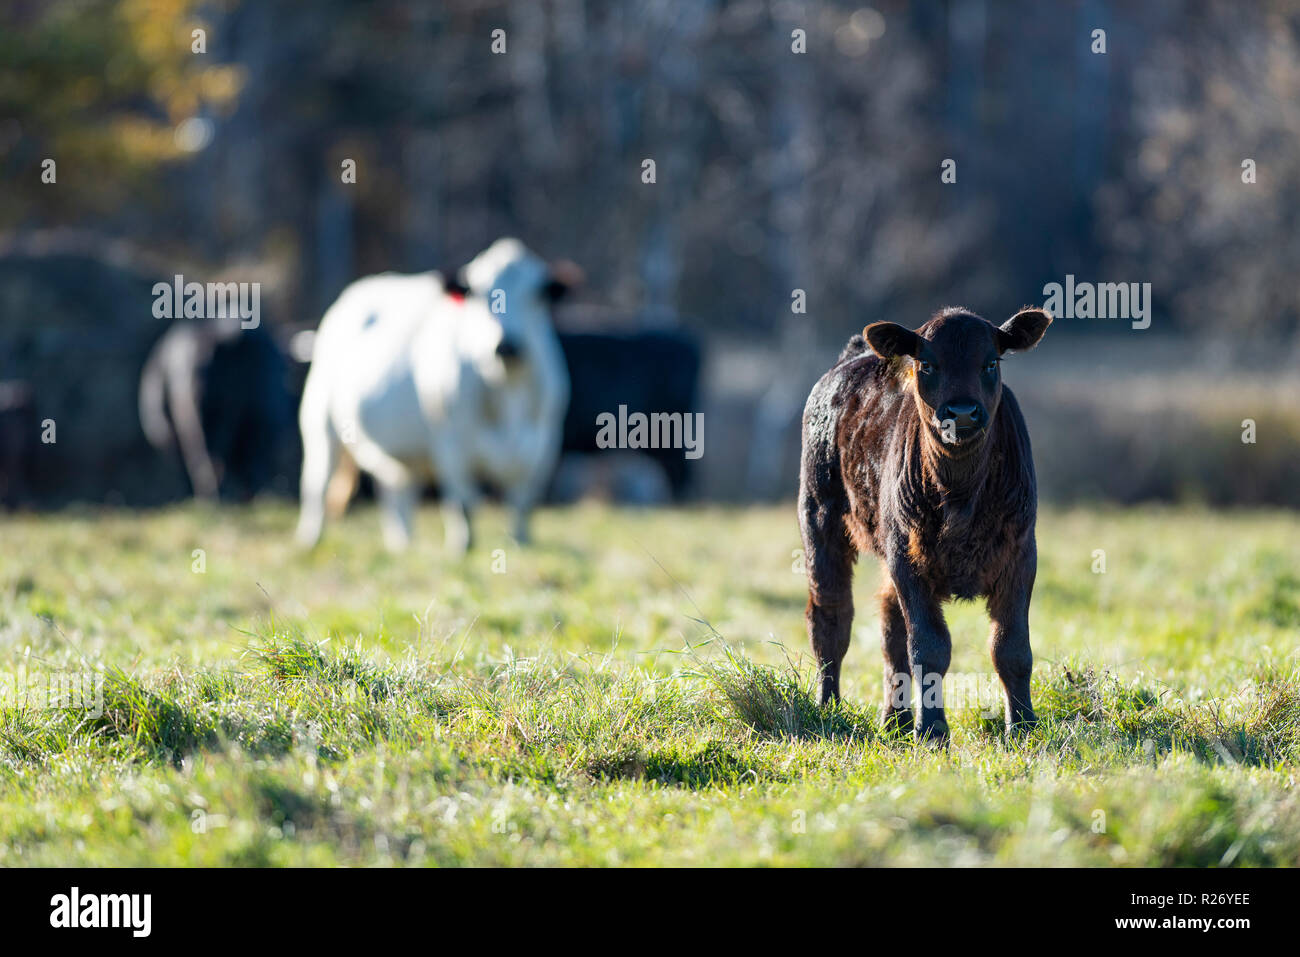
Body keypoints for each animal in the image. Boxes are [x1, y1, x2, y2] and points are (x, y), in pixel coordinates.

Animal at [295, 238, 576, 553]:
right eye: (478, 294)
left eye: (537, 295)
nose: (506, 345)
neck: (507, 389)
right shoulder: (451, 443)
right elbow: (463, 505)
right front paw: (462, 548)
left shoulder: (545, 444)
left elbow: (522, 506)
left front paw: (520, 544)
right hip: (319, 421)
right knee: (317, 484)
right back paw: (309, 541)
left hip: (398, 451)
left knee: (396, 494)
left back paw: (402, 545)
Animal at [798, 306, 1052, 744]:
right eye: (927, 364)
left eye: (991, 362)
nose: (962, 412)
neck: (961, 495)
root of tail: (851, 357)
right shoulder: (907, 558)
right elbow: (929, 648)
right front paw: (932, 730)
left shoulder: (1021, 553)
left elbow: (1012, 648)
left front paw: (1022, 726)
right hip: (819, 514)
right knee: (831, 618)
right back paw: (828, 706)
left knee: (889, 627)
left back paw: (895, 719)